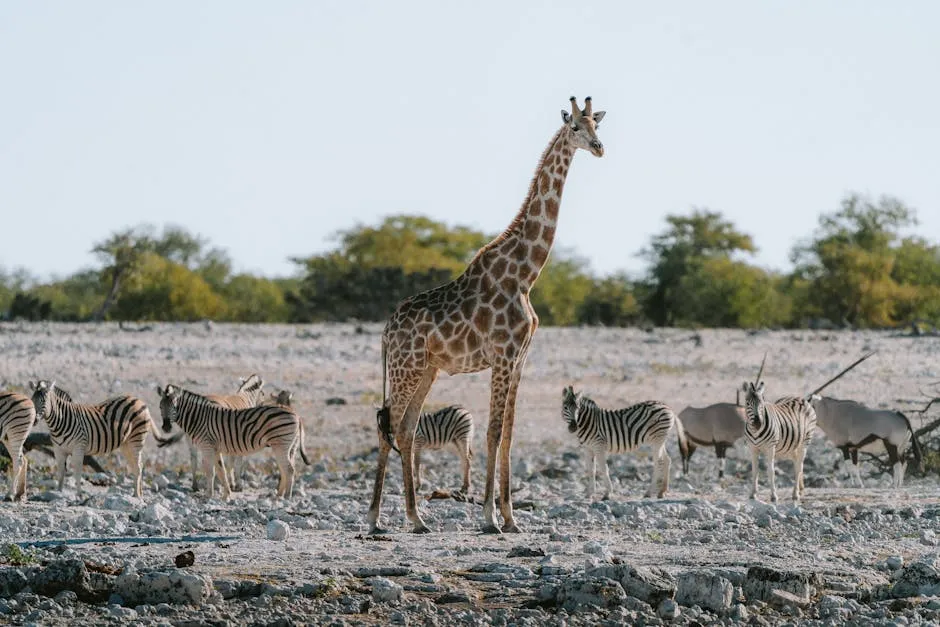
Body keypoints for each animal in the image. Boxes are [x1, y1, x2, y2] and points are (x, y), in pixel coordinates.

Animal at [29, 380, 171, 498]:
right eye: (32, 400)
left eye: (43, 401)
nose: (34, 420)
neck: (60, 422)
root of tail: (139, 401)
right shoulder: (58, 450)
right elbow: (61, 472)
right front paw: (58, 492)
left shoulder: (78, 448)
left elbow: (77, 472)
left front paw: (79, 495)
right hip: (126, 444)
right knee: (136, 466)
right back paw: (138, 494)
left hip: (137, 439)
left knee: (138, 466)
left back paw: (137, 495)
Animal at [155, 384, 310, 499]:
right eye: (160, 407)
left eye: (174, 406)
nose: (166, 427)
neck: (198, 418)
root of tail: (296, 414)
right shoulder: (215, 448)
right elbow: (221, 470)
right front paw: (226, 495)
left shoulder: (207, 447)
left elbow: (210, 471)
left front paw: (209, 495)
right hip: (289, 447)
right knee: (285, 469)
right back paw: (279, 495)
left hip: (281, 445)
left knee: (289, 469)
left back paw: (287, 497)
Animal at [369, 96, 606, 534]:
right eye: (575, 129)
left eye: (597, 126)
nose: (599, 148)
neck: (526, 275)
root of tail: (385, 331)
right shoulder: (502, 355)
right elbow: (493, 432)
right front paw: (489, 517)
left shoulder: (520, 358)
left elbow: (509, 433)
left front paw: (511, 518)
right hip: (405, 367)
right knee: (387, 425)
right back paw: (375, 519)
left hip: (426, 369)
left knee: (406, 429)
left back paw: (416, 518)